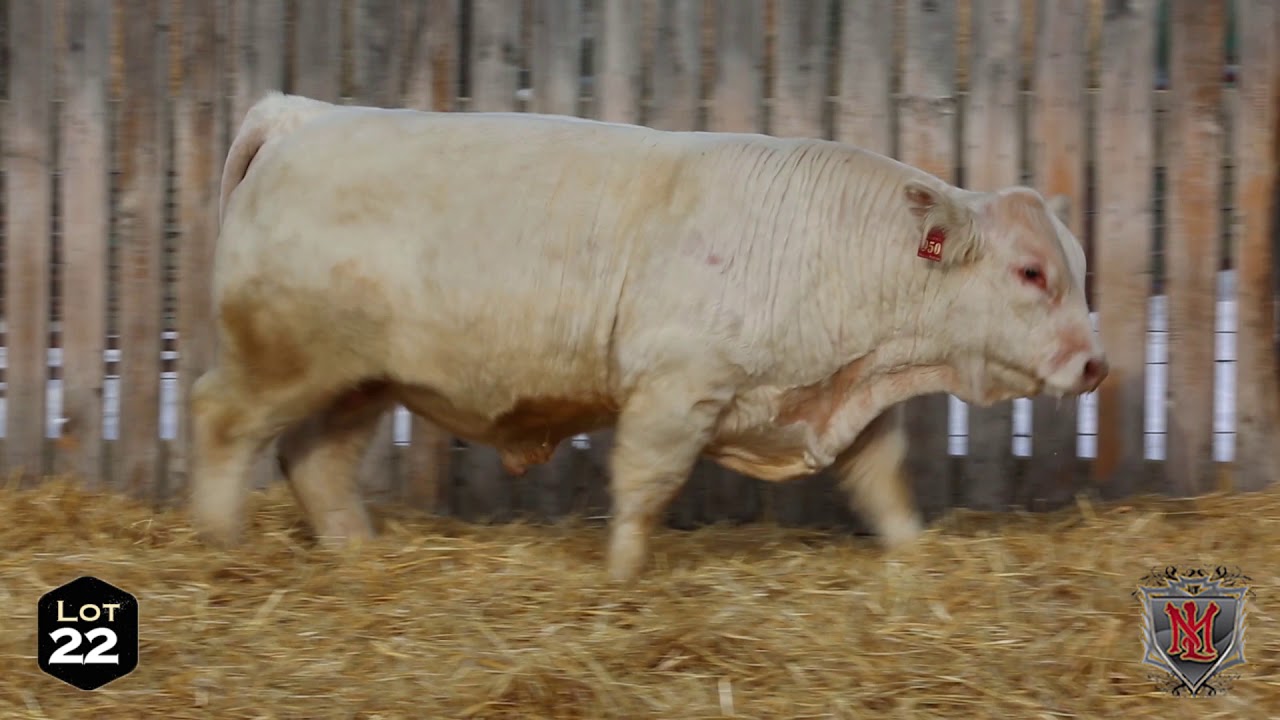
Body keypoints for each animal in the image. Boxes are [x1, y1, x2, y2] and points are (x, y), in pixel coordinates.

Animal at [189, 92, 1107, 584]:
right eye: (1033, 272)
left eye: (1075, 266)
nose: (1095, 362)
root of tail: (305, 116)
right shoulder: (675, 387)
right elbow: (644, 485)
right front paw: (624, 575)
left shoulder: (845, 402)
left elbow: (883, 482)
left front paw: (913, 556)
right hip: (282, 356)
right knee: (222, 423)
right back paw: (219, 543)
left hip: (361, 378)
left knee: (318, 460)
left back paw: (355, 553)